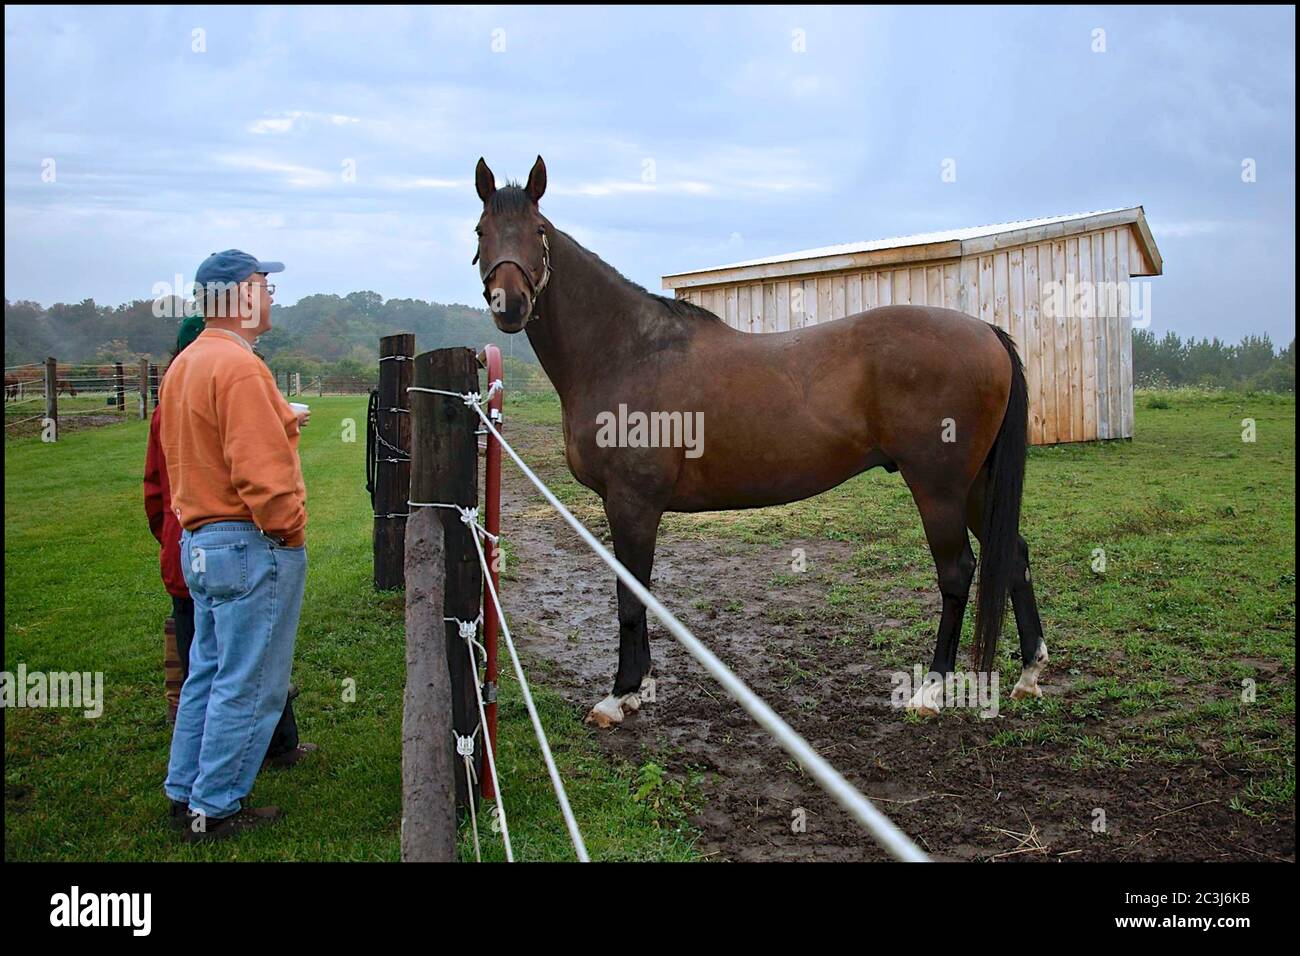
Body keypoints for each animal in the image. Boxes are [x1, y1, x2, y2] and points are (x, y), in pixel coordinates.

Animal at [471, 156, 1049, 727]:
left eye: (538, 231)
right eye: (481, 231)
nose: (509, 303)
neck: (627, 350)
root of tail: (987, 332)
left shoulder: (631, 503)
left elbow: (630, 597)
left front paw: (620, 695)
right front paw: (638, 689)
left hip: (939, 488)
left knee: (958, 573)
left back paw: (931, 689)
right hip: (976, 485)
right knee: (1013, 554)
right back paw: (1028, 675)